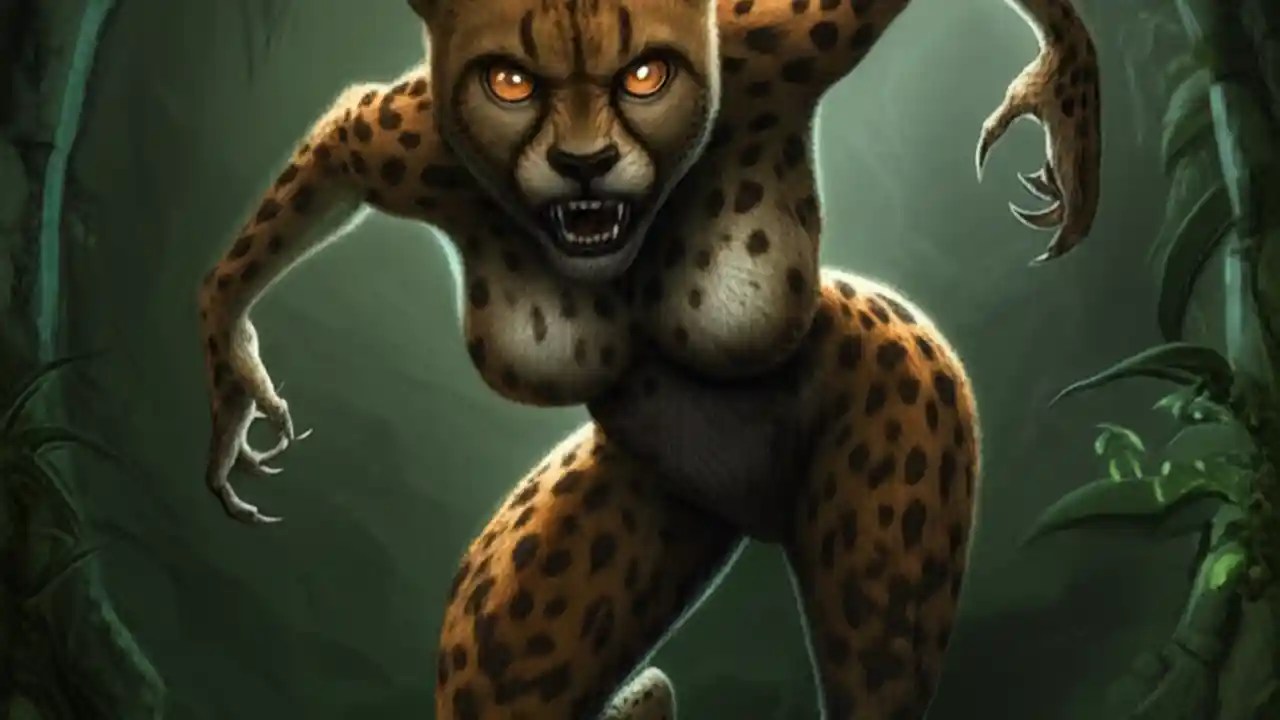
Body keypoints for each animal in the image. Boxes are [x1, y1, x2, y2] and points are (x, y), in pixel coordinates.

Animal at [192, 0, 1103, 717]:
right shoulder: (418, 151)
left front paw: (1065, 102)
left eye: (644, 77)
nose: (583, 162)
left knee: (879, 663)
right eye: (511, 82)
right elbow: (338, 139)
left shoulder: (773, 48)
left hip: (899, 429)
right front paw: (232, 378)